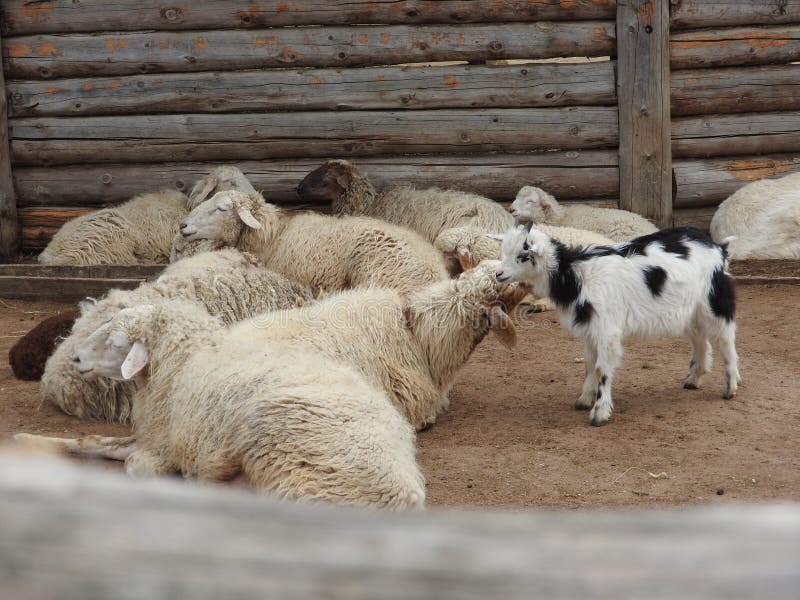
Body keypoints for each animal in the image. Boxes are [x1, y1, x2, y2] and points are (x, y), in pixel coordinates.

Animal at [21, 300, 425, 510]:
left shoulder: (167, 447)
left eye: (118, 342)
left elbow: (136, 465)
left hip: (280, 452)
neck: (184, 362)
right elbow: (92, 442)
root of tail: (402, 495)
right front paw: (31, 440)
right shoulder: (158, 437)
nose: (76, 359)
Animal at [492, 224, 741, 426]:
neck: (577, 276)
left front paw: (599, 413)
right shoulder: (590, 330)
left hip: (715, 303)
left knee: (726, 341)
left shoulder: (606, 330)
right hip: (688, 311)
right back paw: (694, 379)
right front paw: (585, 398)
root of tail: (719, 247)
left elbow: (602, 368)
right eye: (504, 252)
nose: (498, 274)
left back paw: (730, 386)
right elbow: (589, 364)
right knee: (701, 340)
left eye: (523, 256)